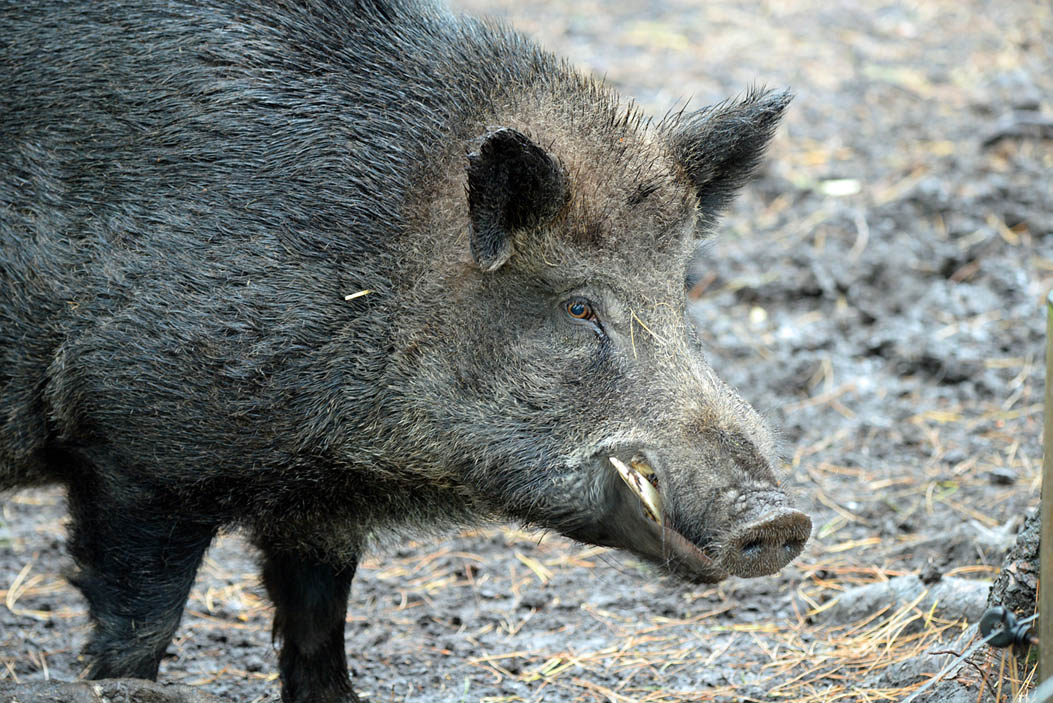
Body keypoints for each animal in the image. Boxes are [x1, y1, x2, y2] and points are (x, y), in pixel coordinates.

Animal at [0, 0, 811, 701]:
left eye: (678, 295)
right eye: (580, 307)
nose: (780, 519)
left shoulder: (317, 503)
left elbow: (319, 624)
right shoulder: (134, 452)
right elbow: (140, 625)